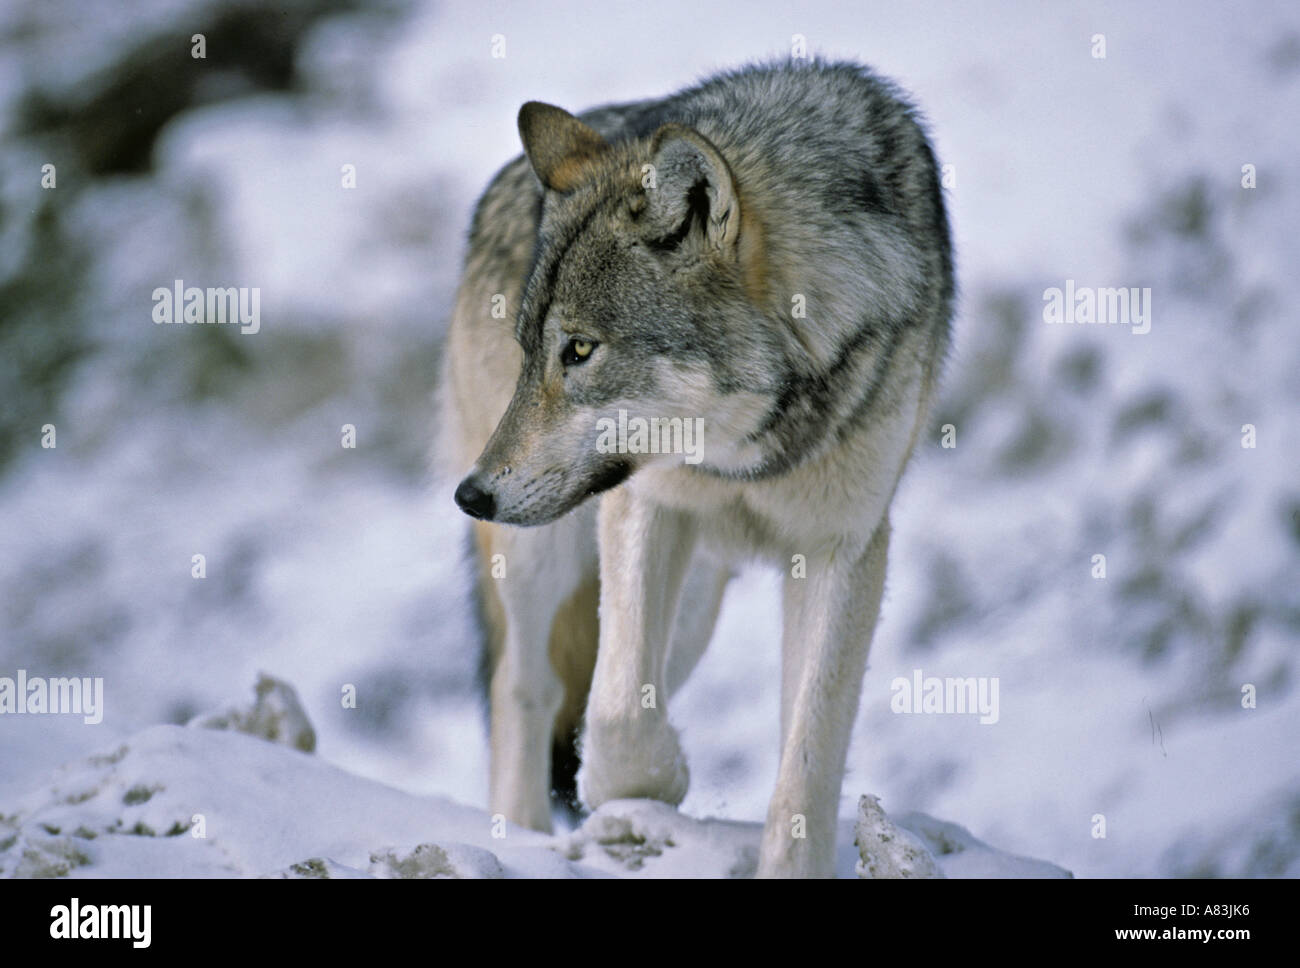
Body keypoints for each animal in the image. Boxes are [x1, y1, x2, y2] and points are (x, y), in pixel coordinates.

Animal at [438, 59, 953, 877]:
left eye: (579, 349)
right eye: (529, 350)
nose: (471, 494)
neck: (749, 451)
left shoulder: (844, 549)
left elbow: (807, 758)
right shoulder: (647, 506)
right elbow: (616, 712)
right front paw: (653, 785)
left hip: (697, 606)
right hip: (544, 560)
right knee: (525, 683)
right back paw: (520, 834)